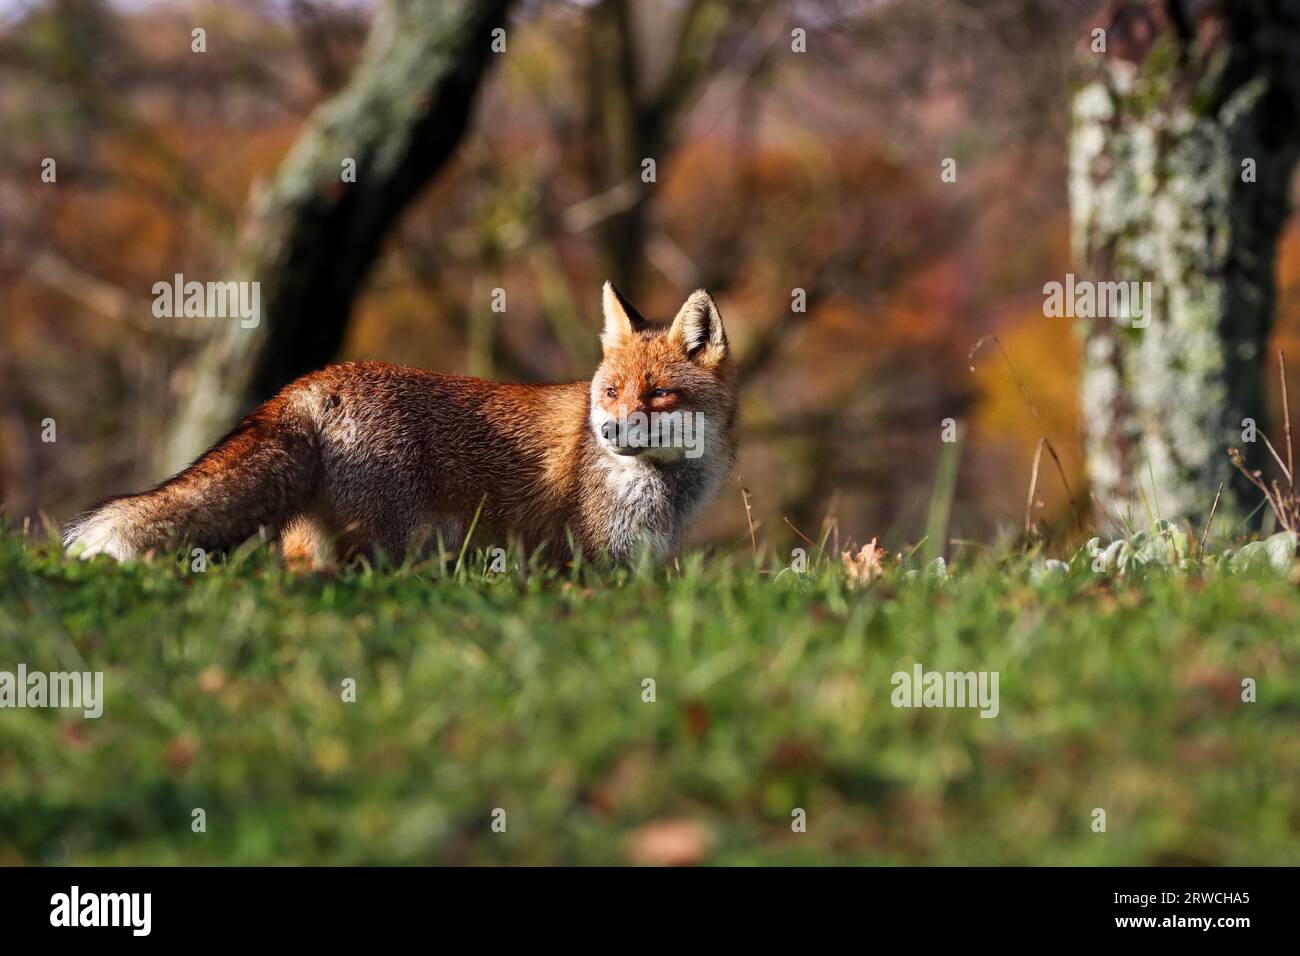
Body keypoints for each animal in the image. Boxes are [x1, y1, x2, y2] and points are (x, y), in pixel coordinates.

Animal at [63, 282, 738, 570]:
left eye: (658, 394)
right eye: (612, 393)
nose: (609, 433)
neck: (661, 488)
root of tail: (313, 381)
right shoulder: (592, 560)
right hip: (388, 541)